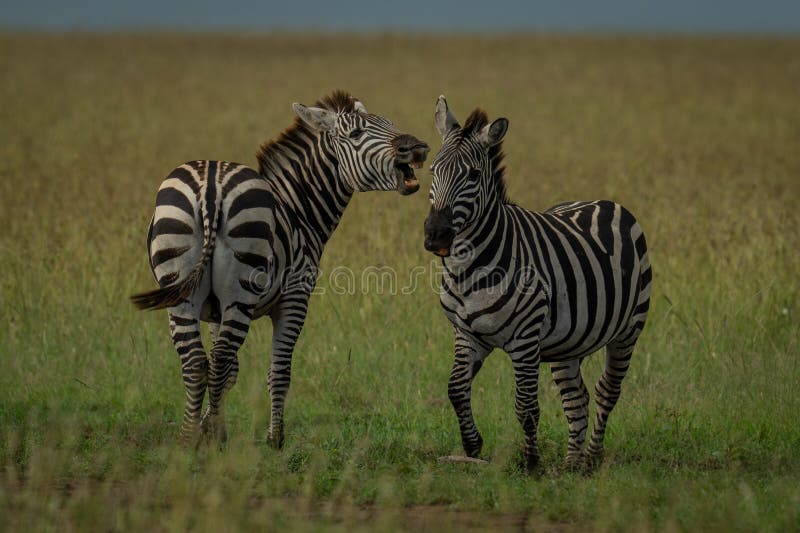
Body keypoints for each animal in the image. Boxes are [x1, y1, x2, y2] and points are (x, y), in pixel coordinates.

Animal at [131, 91, 429, 446]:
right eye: (357, 134)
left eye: (390, 124)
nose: (417, 147)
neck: (299, 208)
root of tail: (211, 188)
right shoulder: (295, 298)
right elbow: (279, 370)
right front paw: (274, 439)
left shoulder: (215, 309)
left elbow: (229, 370)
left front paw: (208, 425)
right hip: (241, 293)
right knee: (218, 360)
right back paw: (214, 440)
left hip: (180, 290)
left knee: (196, 363)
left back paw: (187, 440)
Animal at [423, 95, 652, 471]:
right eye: (432, 171)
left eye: (472, 175)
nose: (435, 235)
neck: (468, 269)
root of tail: (602, 200)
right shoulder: (468, 333)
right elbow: (456, 389)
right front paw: (472, 445)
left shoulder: (525, 339)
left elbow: (526, 405)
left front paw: (530, 461)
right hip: (567, 343)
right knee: (577, 397)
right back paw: (572, 462)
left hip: (629, 328)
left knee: (607, 391)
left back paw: (591, 457)